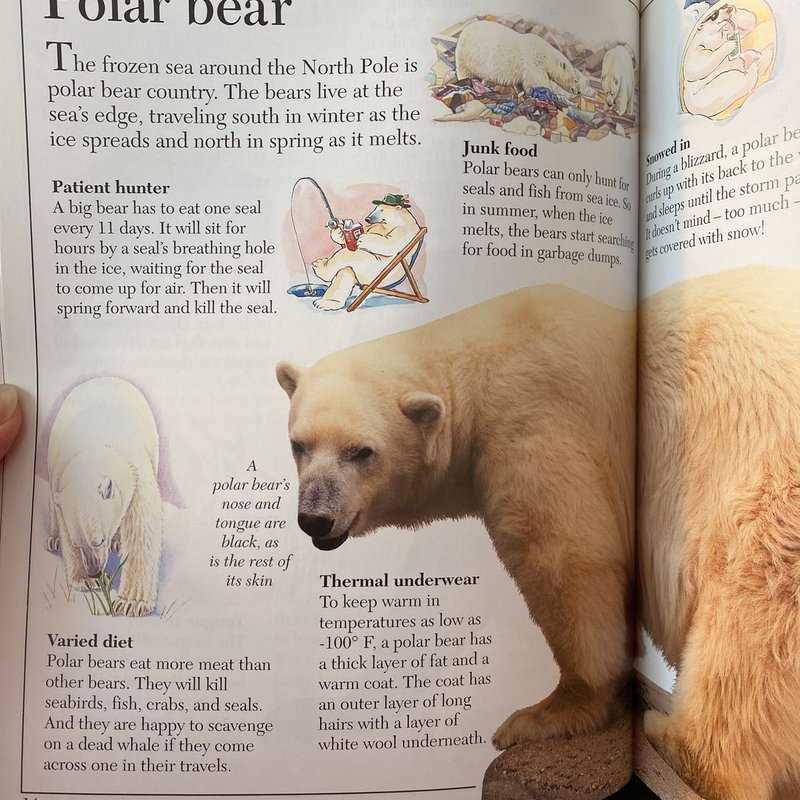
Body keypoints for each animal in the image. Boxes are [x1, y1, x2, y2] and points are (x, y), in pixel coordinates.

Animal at [47, 376, 164, 617]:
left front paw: (131, 602)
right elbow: (65, 525)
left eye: (98, 539)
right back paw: (53, 539)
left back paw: (118, 542)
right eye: (77, 542)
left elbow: (142, 528)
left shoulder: (135, 469)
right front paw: (85, 581)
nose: (94, 572)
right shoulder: (60, 477)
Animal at [276, 285, 637, 746]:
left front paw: (544, 714)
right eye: (299, 445)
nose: (316, 519)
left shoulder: (533, 417)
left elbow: (565, 558)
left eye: (361, 451)